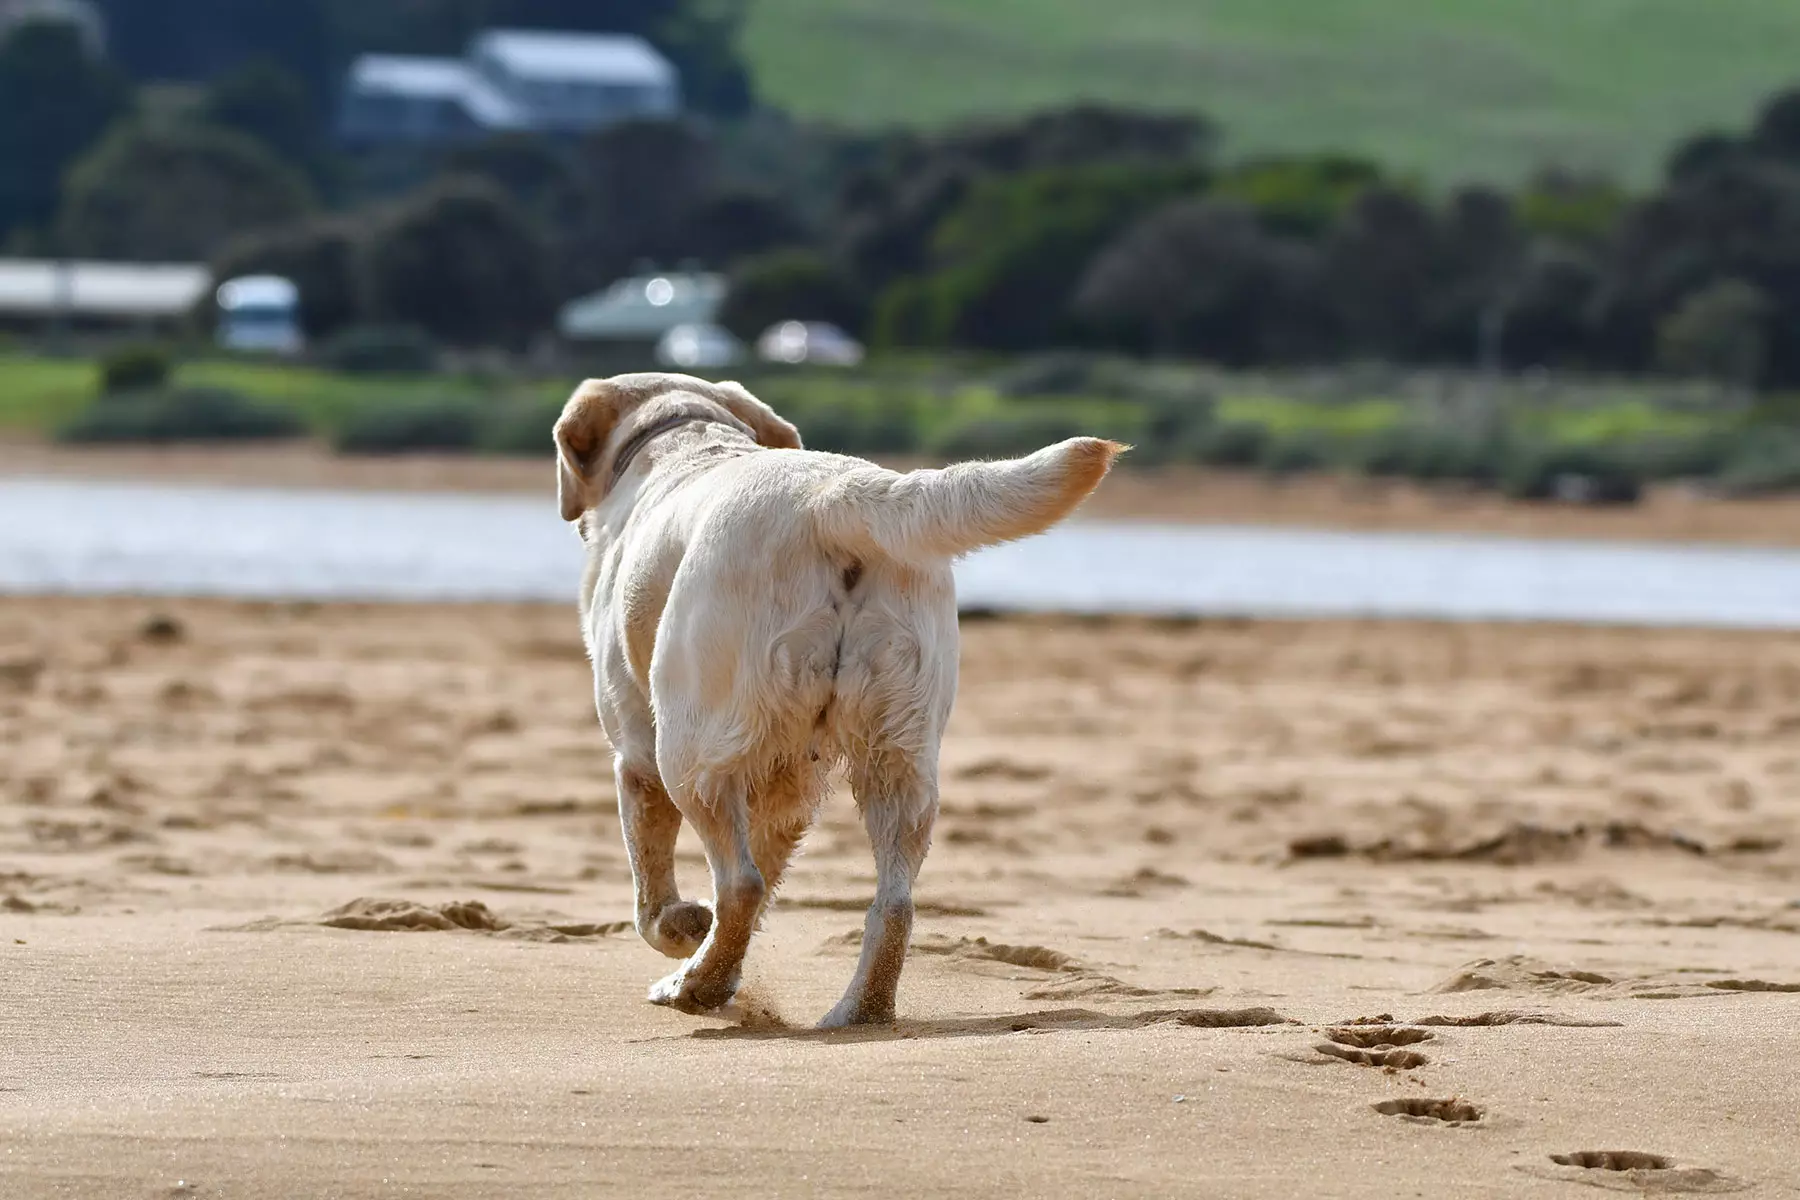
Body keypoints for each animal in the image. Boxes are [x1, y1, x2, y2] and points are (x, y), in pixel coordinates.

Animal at [554, 370, 1116, 1029]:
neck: (683, 436)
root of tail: (834, 494)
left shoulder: (635, 753)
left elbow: (654, 893)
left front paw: (684, 929)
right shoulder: (793, 778)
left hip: (687, 748)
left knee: (739, 882)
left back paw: (695, 987)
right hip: (901, 752)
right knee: (893, 901)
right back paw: (857, 1009)